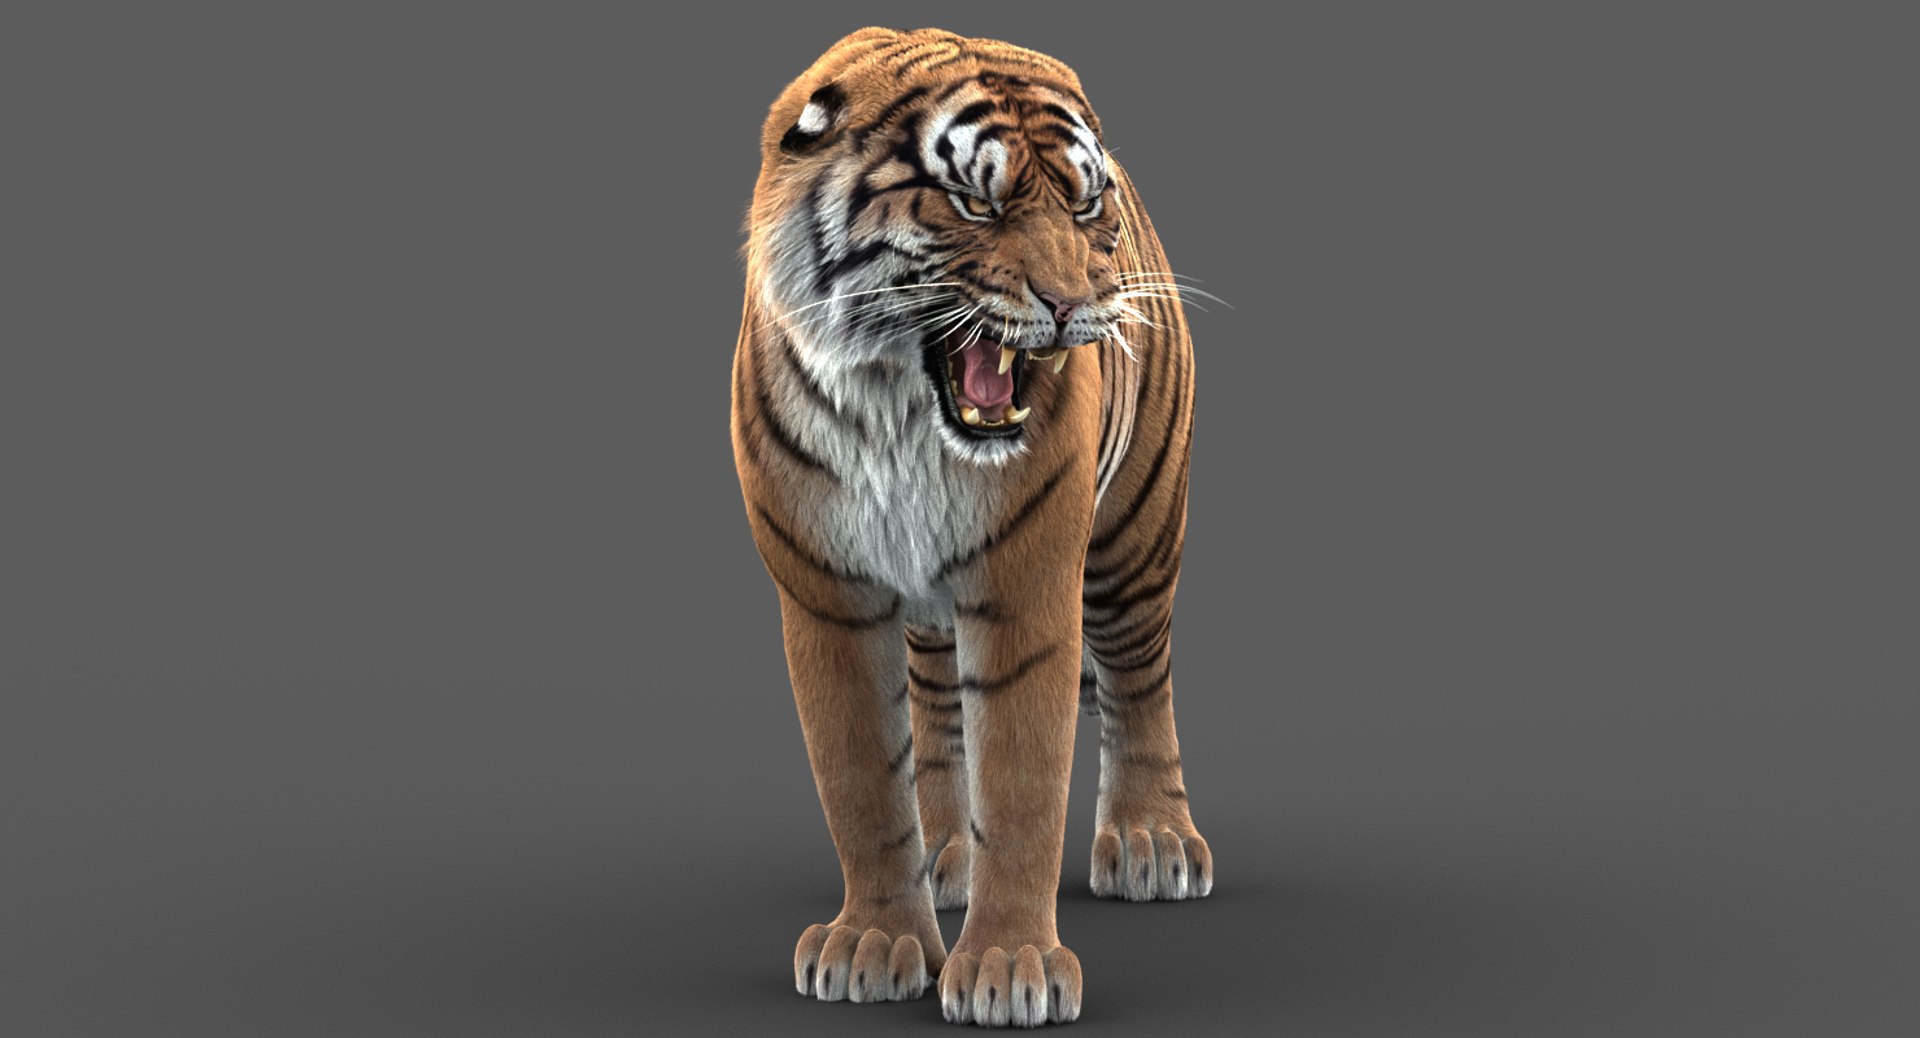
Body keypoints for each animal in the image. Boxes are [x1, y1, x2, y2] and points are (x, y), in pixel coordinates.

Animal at [729, 27, 1212, 1028]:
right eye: (973, 202)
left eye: (1083, 202)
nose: (1072, 304)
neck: (900, 425)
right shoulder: (828, 598)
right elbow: (864, 783)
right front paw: (876, 943)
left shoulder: (1026, 589)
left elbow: (1024, 784)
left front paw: (1008, 967)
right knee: (940, 710)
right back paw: (944, 855)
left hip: (1134, 536)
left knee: (1139, 675)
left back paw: (1152, 838)